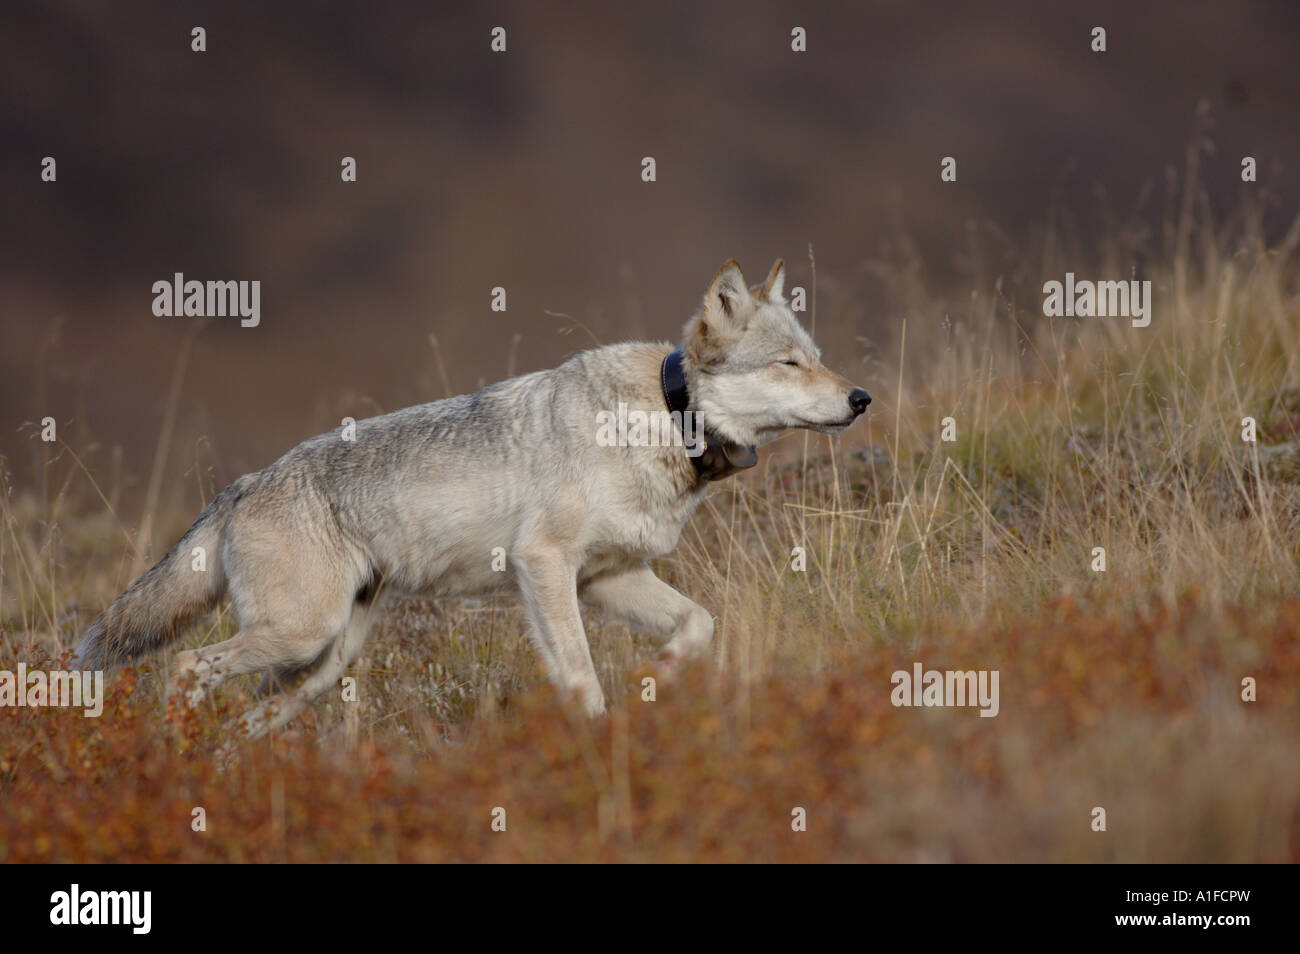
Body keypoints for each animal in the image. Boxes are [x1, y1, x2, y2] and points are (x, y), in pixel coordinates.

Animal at [74, 259, 871, 737]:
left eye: (818, 358)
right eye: (789, 364)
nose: (861, 398)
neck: (663, 417)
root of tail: (240, 485)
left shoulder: (610, 577)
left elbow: (697, 625)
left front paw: (659, 678)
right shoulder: (543, 565)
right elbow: (580, 676)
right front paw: (594, 741)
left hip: (321, 664)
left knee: (238, 715)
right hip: (301, 636)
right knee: (185, 667)